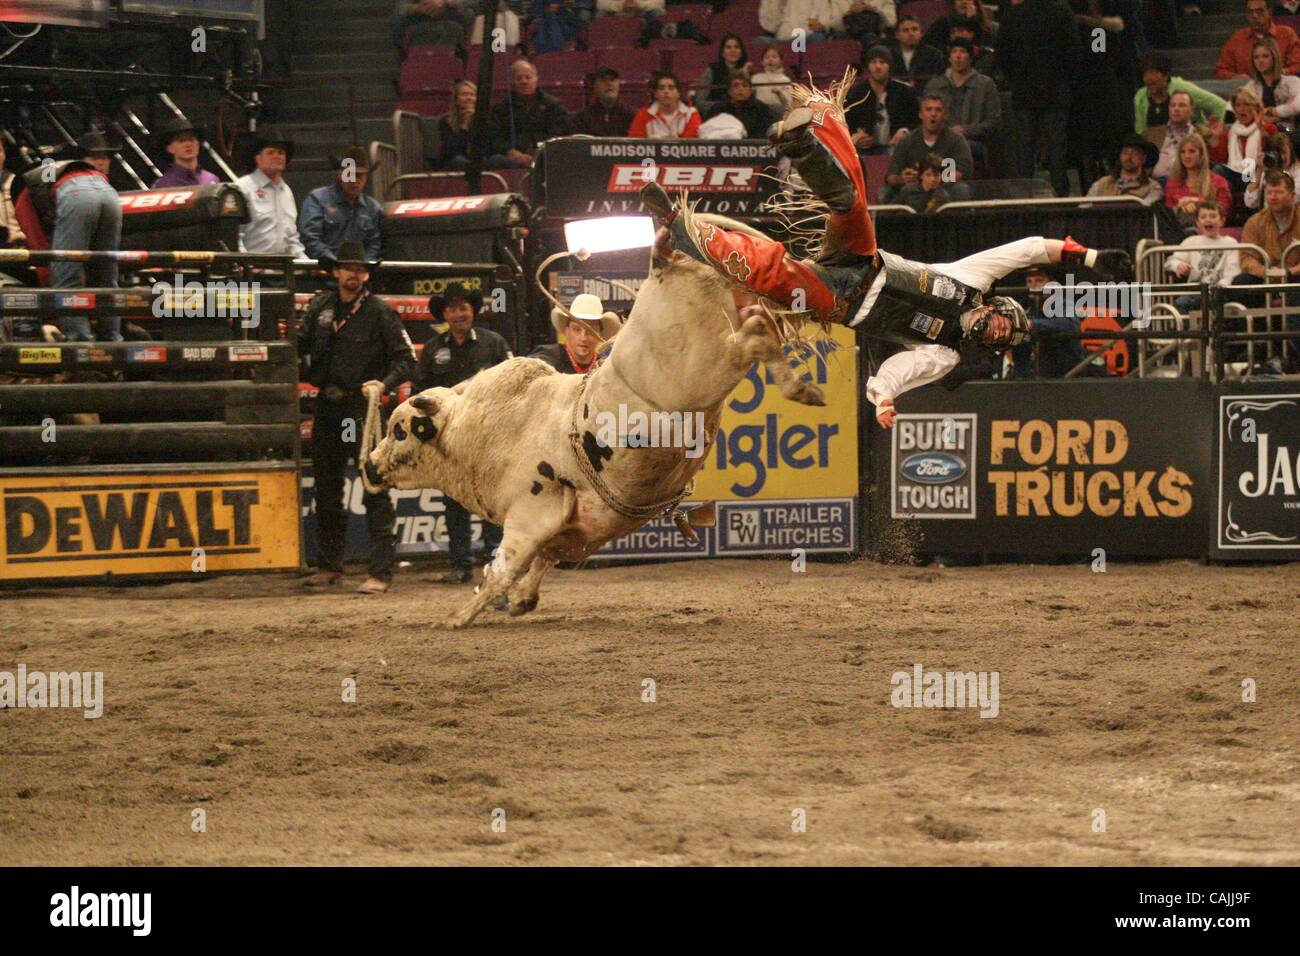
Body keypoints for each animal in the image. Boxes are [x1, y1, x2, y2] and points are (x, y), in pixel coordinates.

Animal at [364, 209, 828, 628]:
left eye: (400, 430)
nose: (369, 464)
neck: (479, 430)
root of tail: (676, 261)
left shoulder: (529, 513)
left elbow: (503, 568)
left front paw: (460, 616)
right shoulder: (573, 527)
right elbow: (546, 557)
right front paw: (520, 600)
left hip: (705, 365)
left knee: (754, 336)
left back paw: (800, 388)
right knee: (759, 324)